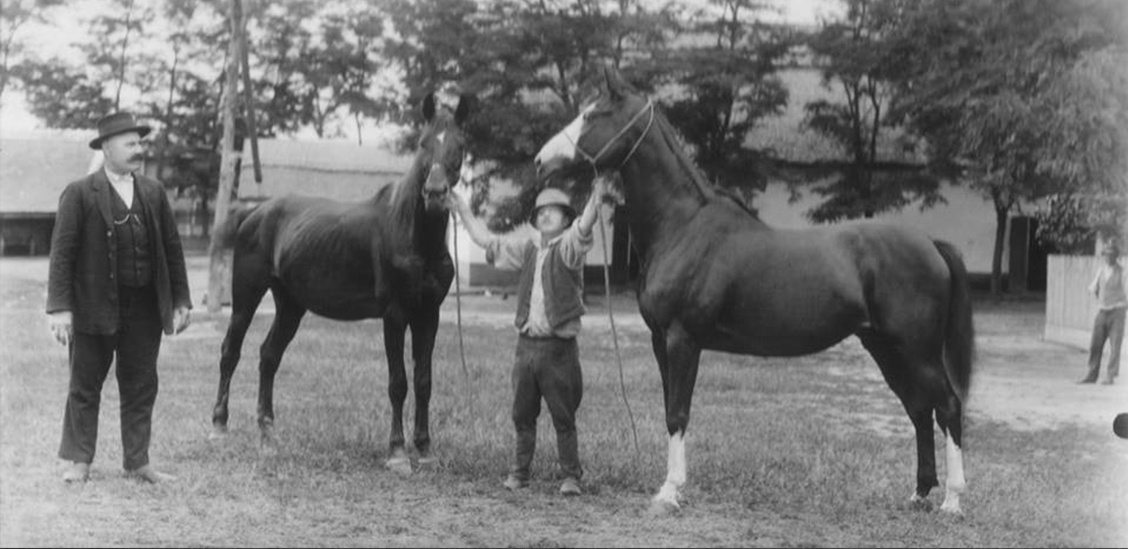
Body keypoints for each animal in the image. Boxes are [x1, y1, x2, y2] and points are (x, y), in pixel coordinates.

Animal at [211, 92, 471, 475]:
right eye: (423, 144)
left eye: (460, 146)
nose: (436, 194)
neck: (415, 237)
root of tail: (254, 213)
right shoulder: (394, 314)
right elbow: (398, 383)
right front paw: (397, 452)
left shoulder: (429, 315)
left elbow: (423, 381)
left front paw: (424, 449)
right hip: (247, 295)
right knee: (231, 350)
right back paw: (219, 425)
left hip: (290, 305)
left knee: (268, 356)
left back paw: (268, 434)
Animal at [534, 66, 975, 515]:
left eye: (592, 114)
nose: (540, 161)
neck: (683, 227)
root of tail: (930, 244)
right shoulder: (661, 341)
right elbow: (669, 410)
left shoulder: (682, 339)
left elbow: (678, 413)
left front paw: (671, 491)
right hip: (885, 348)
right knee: (919, 409)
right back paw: (919, 493)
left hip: (917, 350)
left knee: (948, 406)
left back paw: (952, 500)